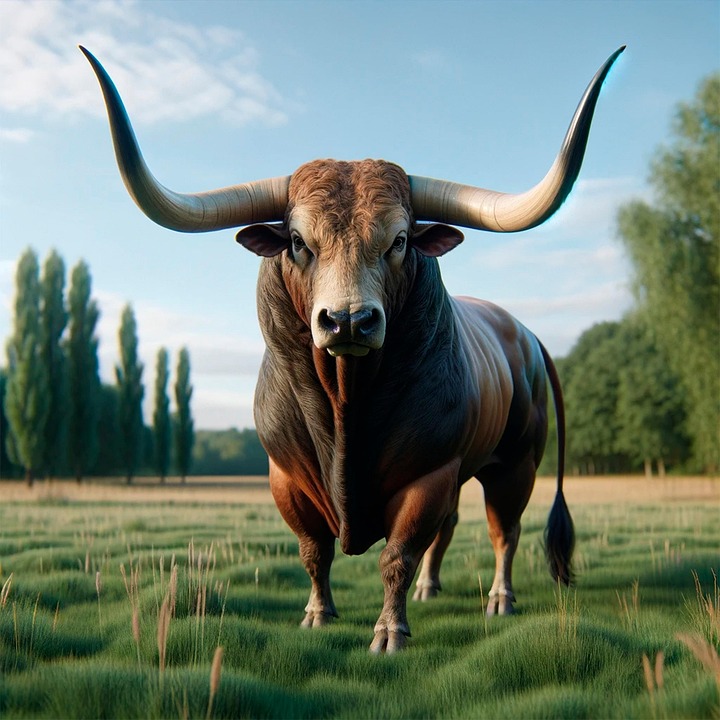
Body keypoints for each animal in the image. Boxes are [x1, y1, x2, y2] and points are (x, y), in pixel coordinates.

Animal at [81, 45, 623, 653]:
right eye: (298, 241)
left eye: (400, 240)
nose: (348, 321)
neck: (345, 404)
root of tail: (524, 333)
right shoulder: (286, 477)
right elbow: (313, 552)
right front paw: (319, 613)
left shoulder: (428, 475)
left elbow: (398, 555)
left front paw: (389, 632)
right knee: (451, 529)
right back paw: (430, 590)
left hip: (516, 462)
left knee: (503, 530)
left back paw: (499, 600)